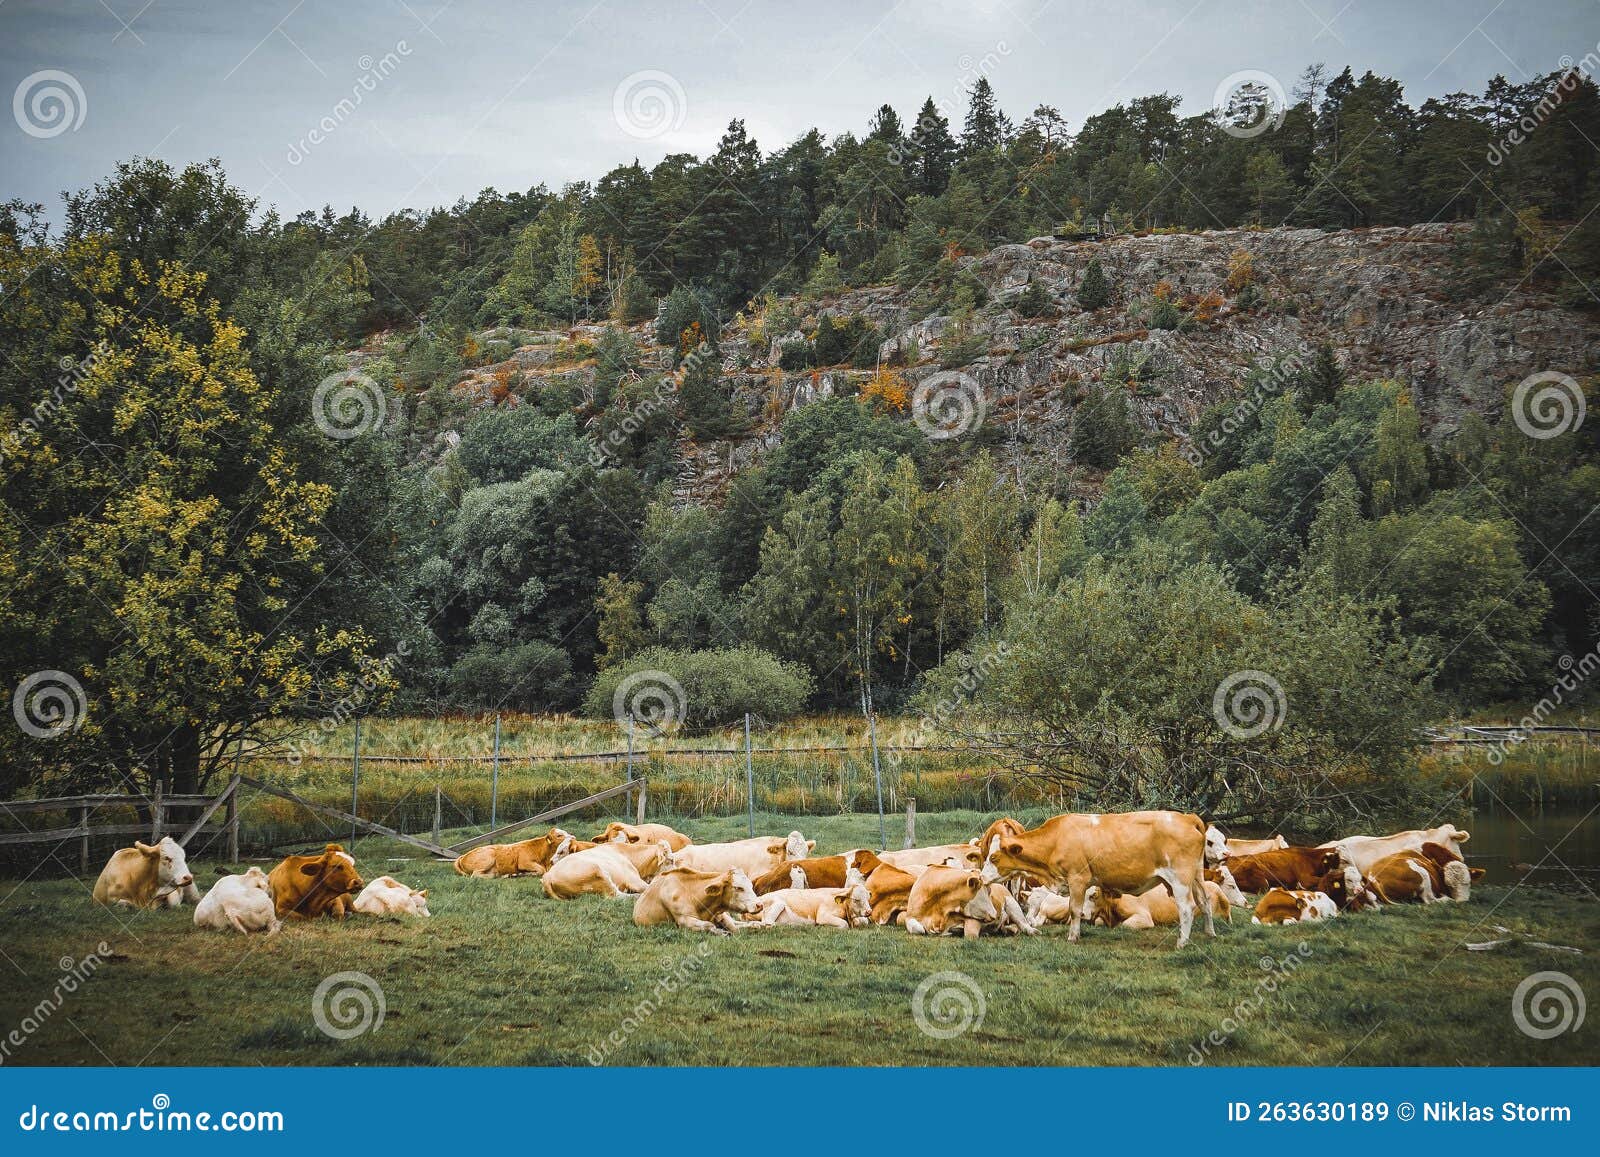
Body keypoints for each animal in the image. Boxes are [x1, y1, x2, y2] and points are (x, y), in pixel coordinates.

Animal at [634, 866, 762, 934]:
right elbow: (710, 925)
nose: (759, 905)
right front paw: (721, 932)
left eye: (751, 885)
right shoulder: (684, 921)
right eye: (738, 888)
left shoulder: (720, 915)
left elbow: (733, 927)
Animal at [981, 811, 1212, 947]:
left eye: (994, 857)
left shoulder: (1077, 879)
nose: (982, 877)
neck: (1056, 839)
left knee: (1187, 908)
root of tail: (1186, 817)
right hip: (1197, 877)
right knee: (1205, 901)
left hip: (1180, 880)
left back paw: (1182, 942)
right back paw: (1210, 933)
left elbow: (1075, 910)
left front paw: (1073, 936)